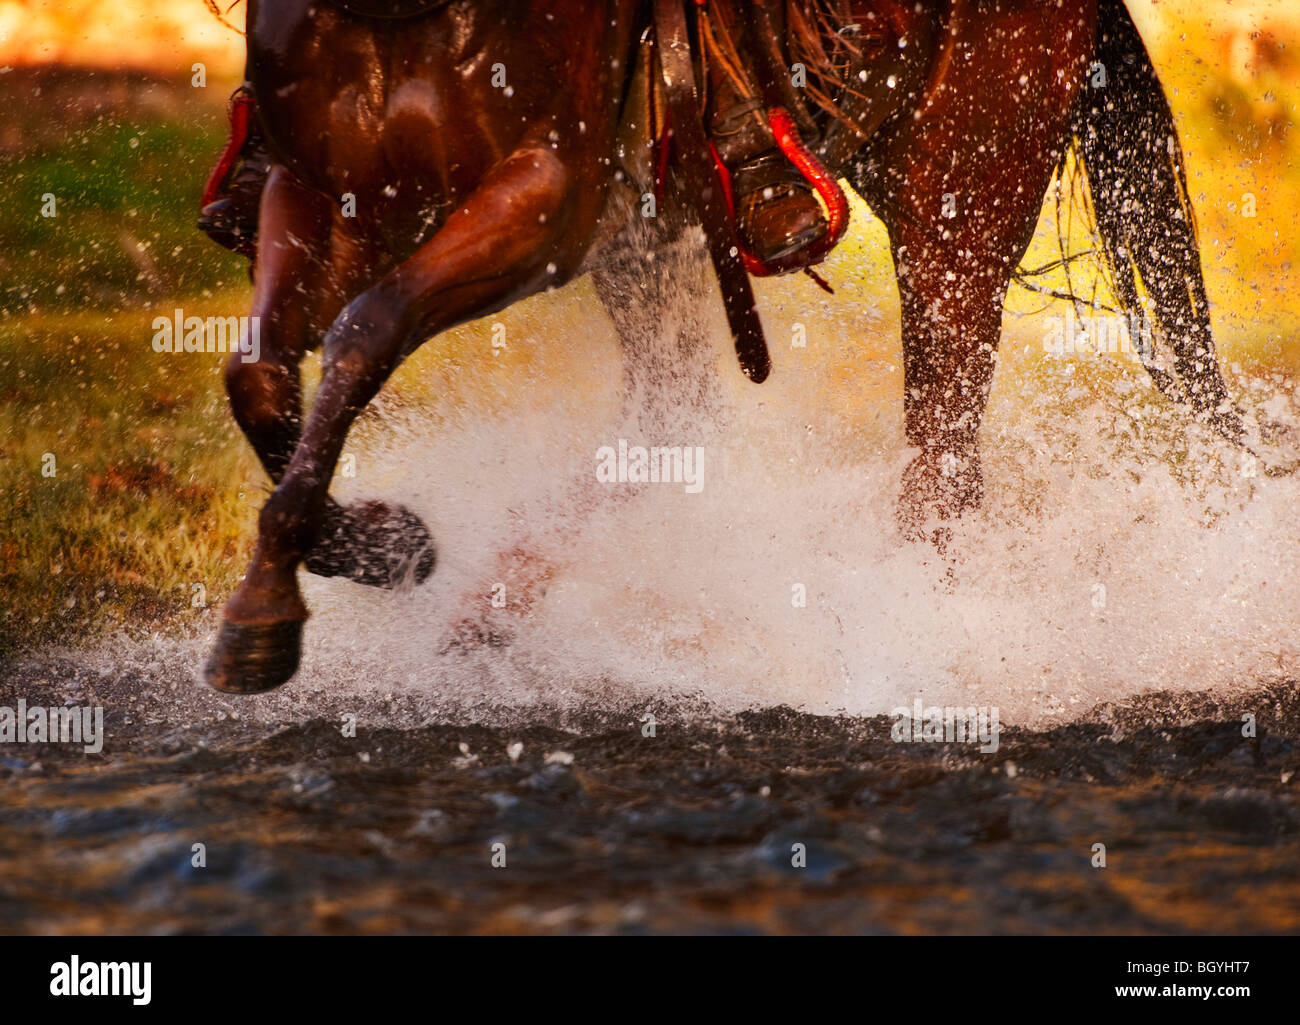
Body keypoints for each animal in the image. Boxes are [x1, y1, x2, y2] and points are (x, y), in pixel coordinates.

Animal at [206, 0, 1240, 693]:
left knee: (940, 458)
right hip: (651, 234)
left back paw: (913, 641)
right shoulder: (315, 193)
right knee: (673, 414)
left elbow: (363, 330)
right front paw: (380, 546)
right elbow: (257, 375)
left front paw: (266, 615)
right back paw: (499, 604)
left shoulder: (543, 201)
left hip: (961, 197)